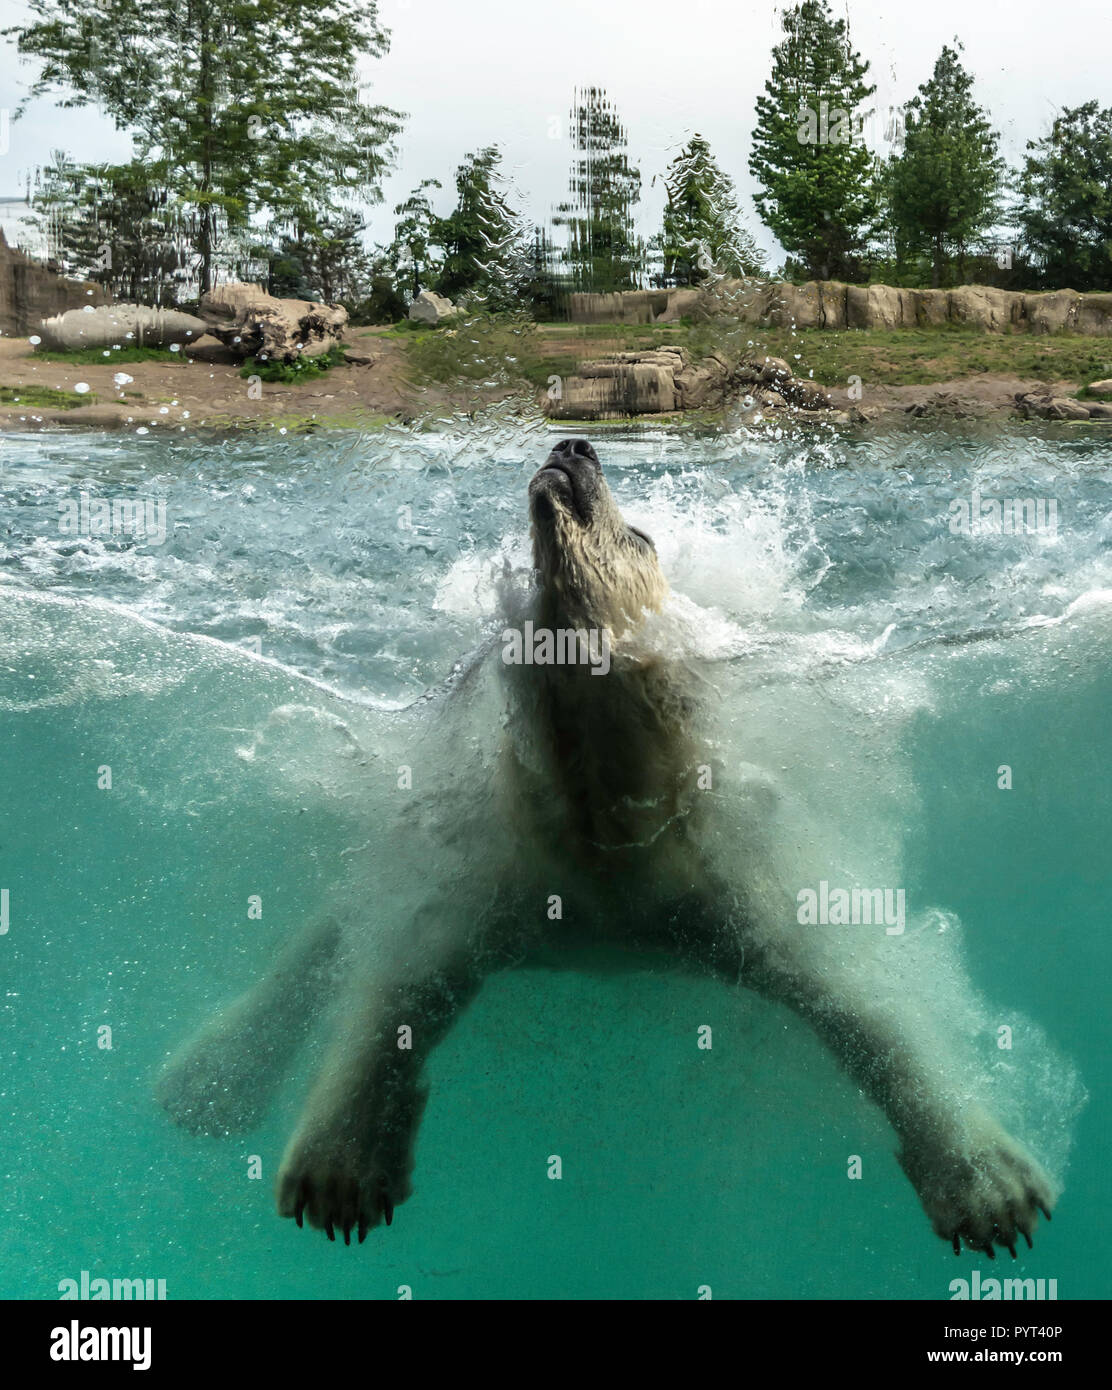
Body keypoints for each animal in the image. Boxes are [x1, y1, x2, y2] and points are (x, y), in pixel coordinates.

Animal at [157, 436, 1059, 1256]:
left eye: (643, 538)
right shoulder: (504, 869)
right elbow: (399, 978)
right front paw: (339, 1171)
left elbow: (857, 999)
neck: (607, 830)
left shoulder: (718, 875)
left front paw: (990, 1187)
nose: (572, 445)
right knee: (339, 918)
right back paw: (212, 1074)